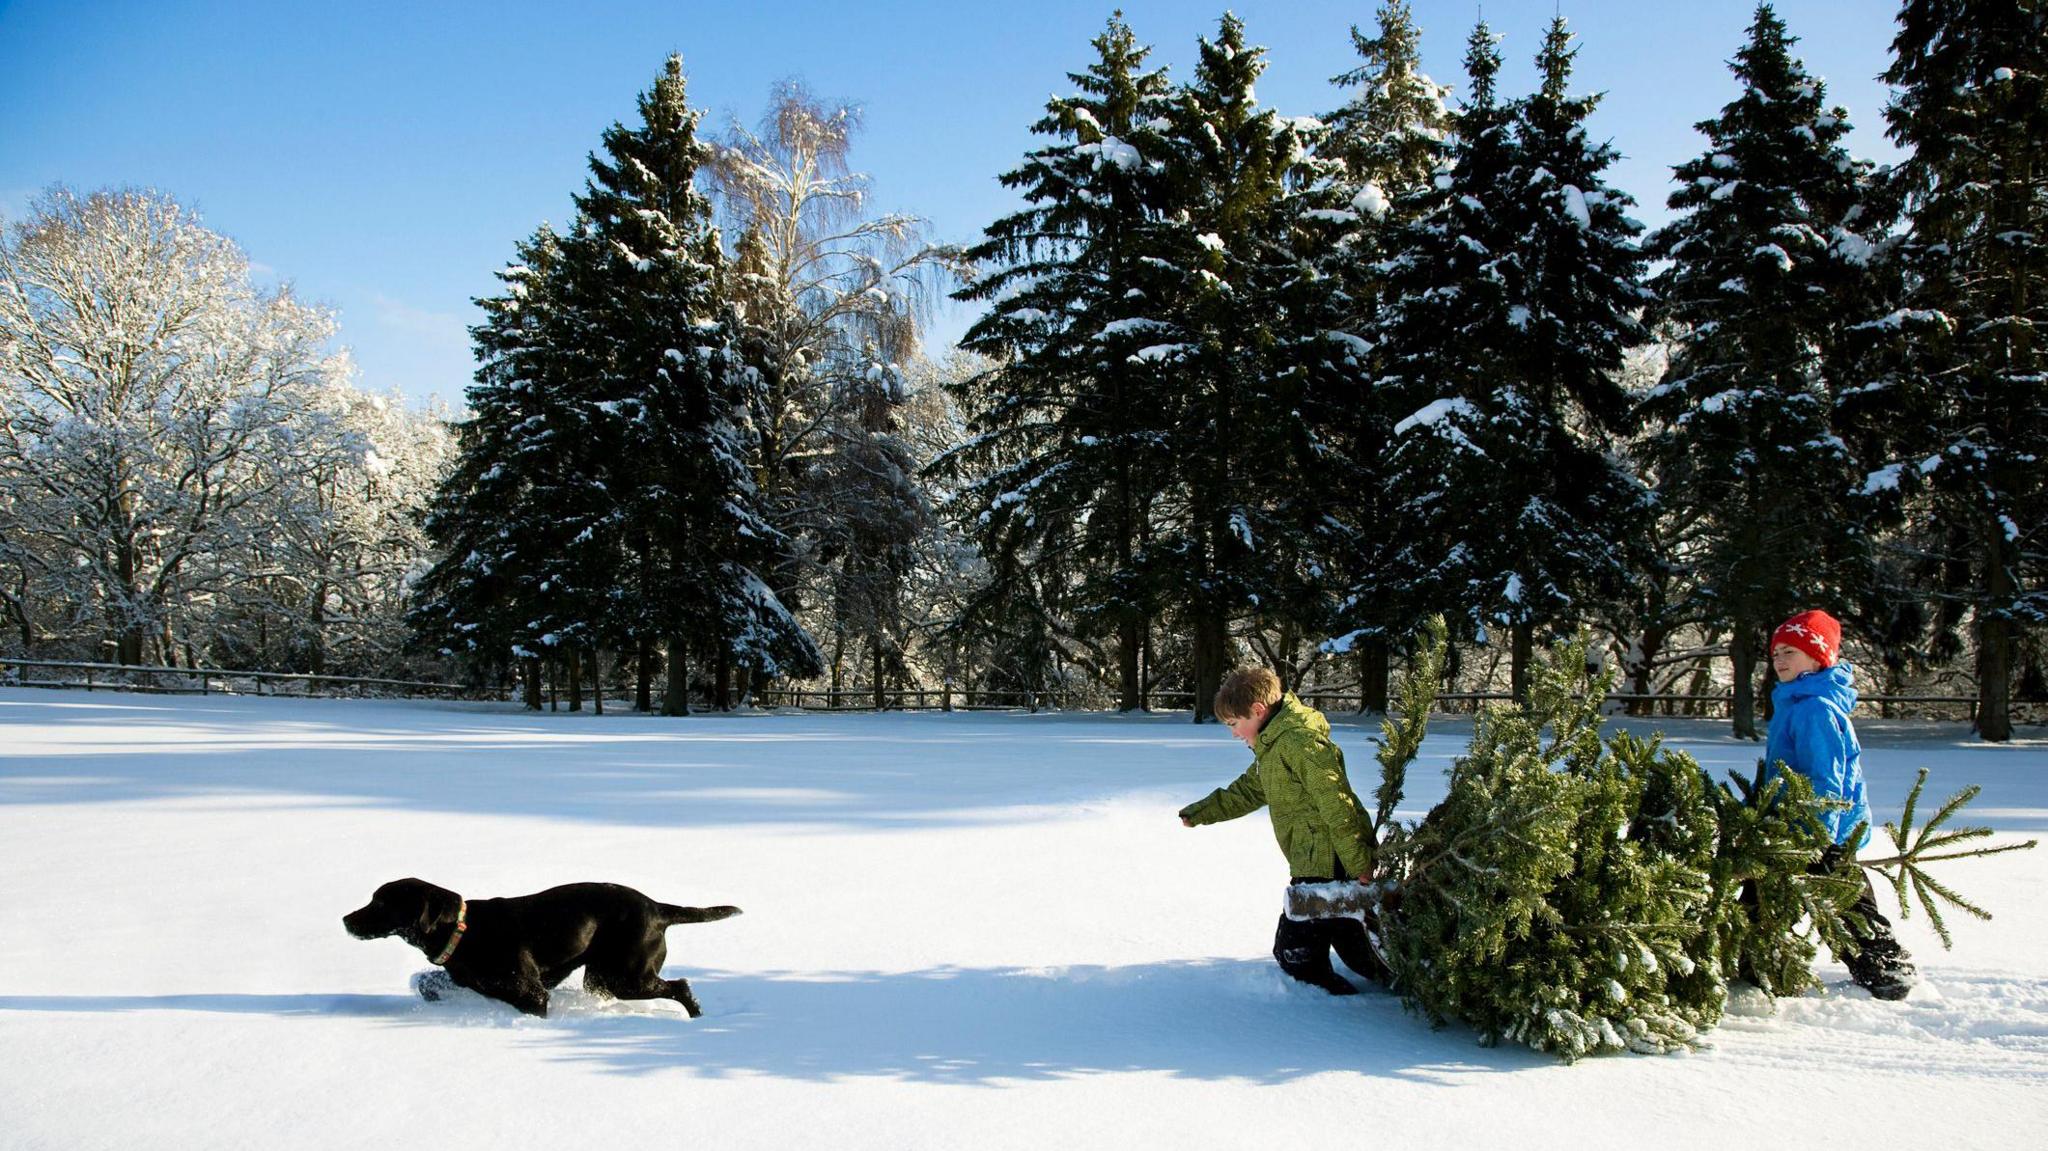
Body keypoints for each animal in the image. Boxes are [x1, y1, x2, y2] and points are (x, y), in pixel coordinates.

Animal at [342, 876, 737, 1011]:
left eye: (381, 903)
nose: (345, 919)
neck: (464, 931)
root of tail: (659, 909)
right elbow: (427, 981)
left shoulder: (531, 993)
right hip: (602, 976)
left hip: (626, 977)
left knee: (681, 986)